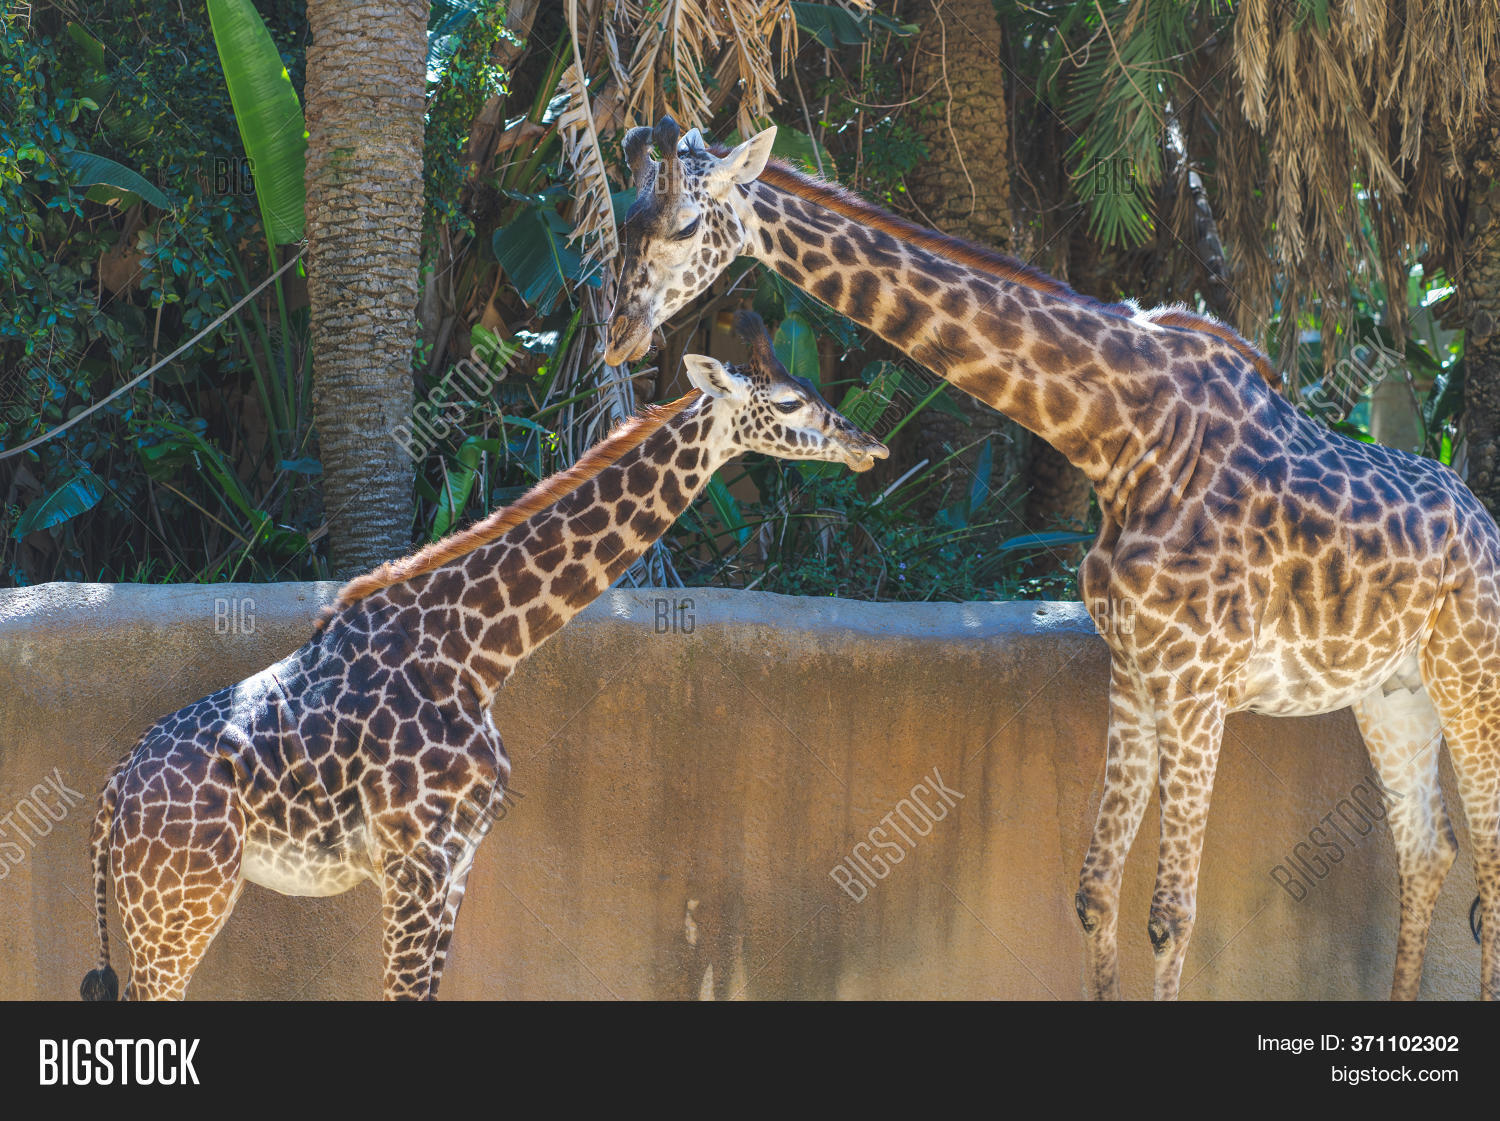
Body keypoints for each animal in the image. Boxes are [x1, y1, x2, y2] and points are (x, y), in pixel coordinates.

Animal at [79, 315, 888, 1000]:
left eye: (815, 390)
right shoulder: (419, 862)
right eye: (789, 400)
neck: (477, 654)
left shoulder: (458, 864)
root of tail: (114, 788)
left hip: (164, 904)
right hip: (181, 901)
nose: (869, 443)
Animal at [601, 116, 1500, 1001]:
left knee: (1484, 876)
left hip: (1469, 682)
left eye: (685, 226)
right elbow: (1094, 890)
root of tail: (1484, 519)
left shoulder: (1197, 685)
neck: (1122, 433)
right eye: (624, 221)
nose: (618, 335)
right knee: (1429, 849)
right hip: (1392, 693)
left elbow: (1171, 914)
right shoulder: (1135, 672)